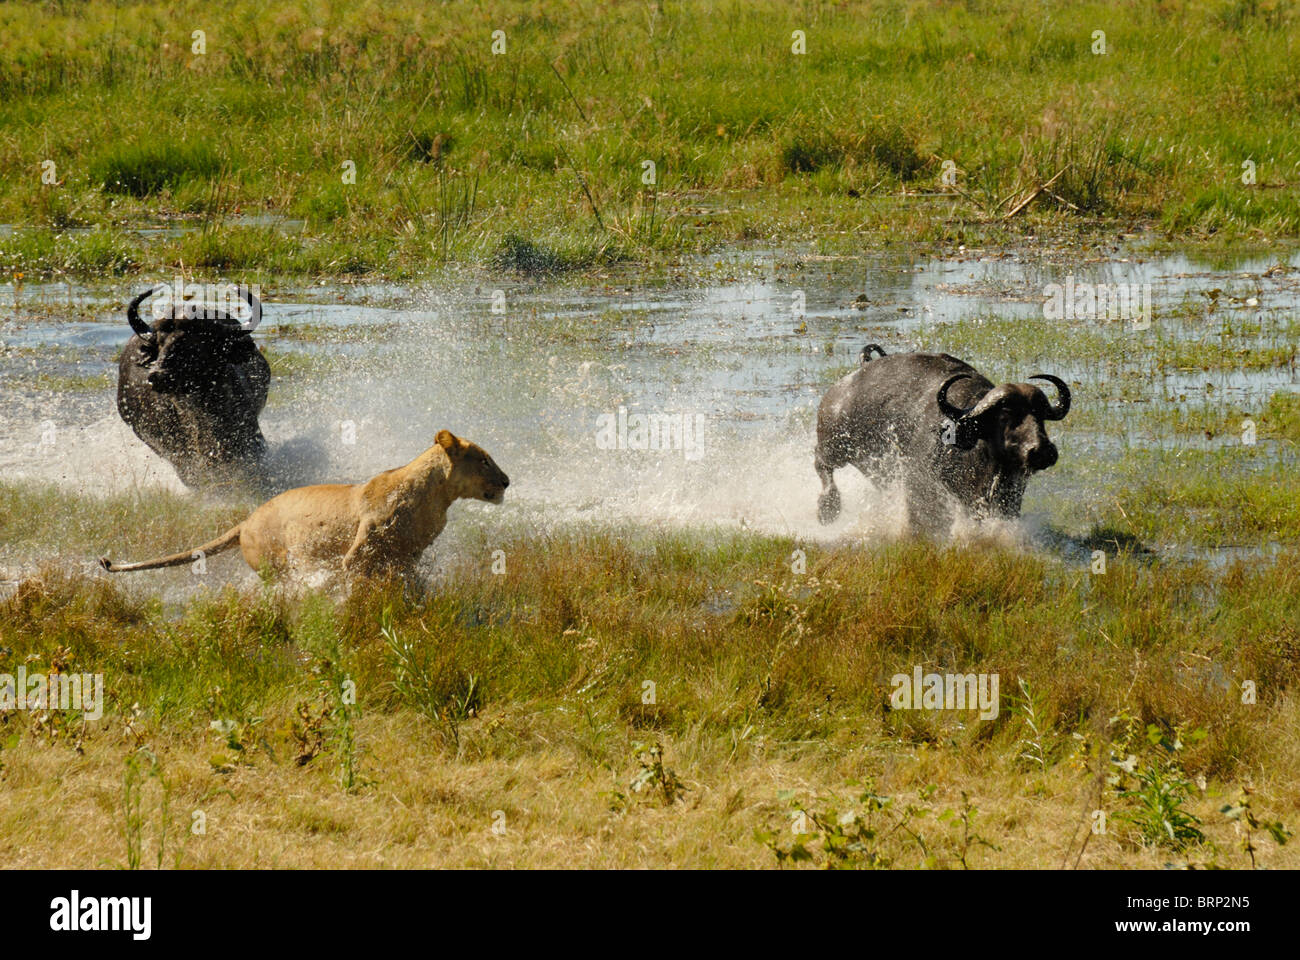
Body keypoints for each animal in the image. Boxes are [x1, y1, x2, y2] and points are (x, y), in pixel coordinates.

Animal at [100, 430, 509, 580]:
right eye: (484, 460)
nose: (507, 481)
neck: (438, 498)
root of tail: (245, 521)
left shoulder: (410, 554)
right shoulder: (360, 550)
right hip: (274, 564)